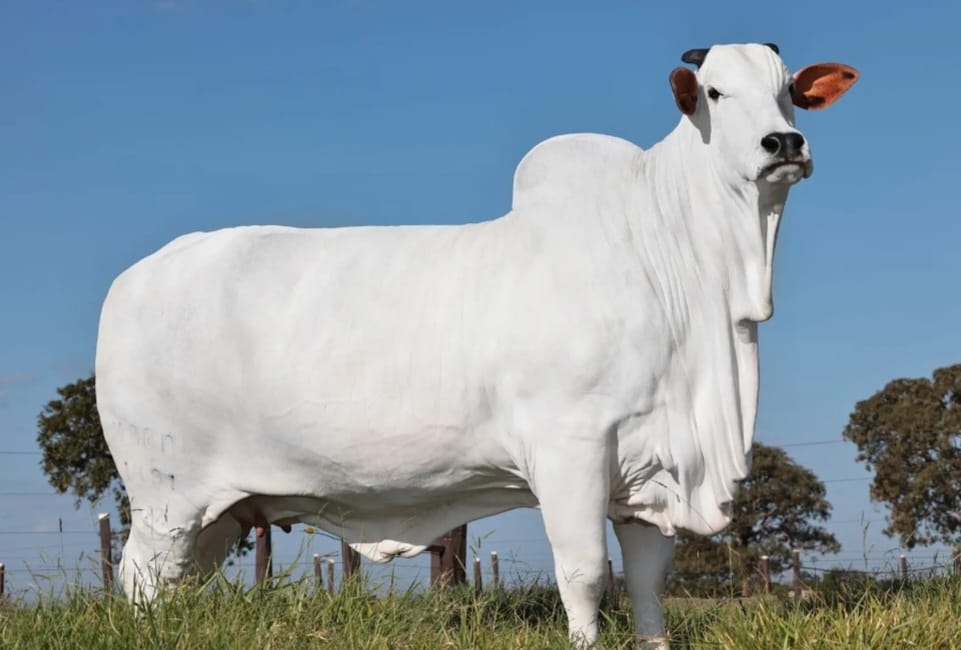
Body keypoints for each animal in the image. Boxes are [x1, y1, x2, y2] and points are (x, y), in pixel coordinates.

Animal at [96, 43, 857, 647]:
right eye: (715, 92)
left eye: (788, 91)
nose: (783, 144)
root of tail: (134, 277)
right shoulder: (570, 448)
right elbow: (585, 574)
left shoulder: (652, 470)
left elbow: (645, 585)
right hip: (164, 500)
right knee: (141, 580)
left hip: (220, 512)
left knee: (176, 586)